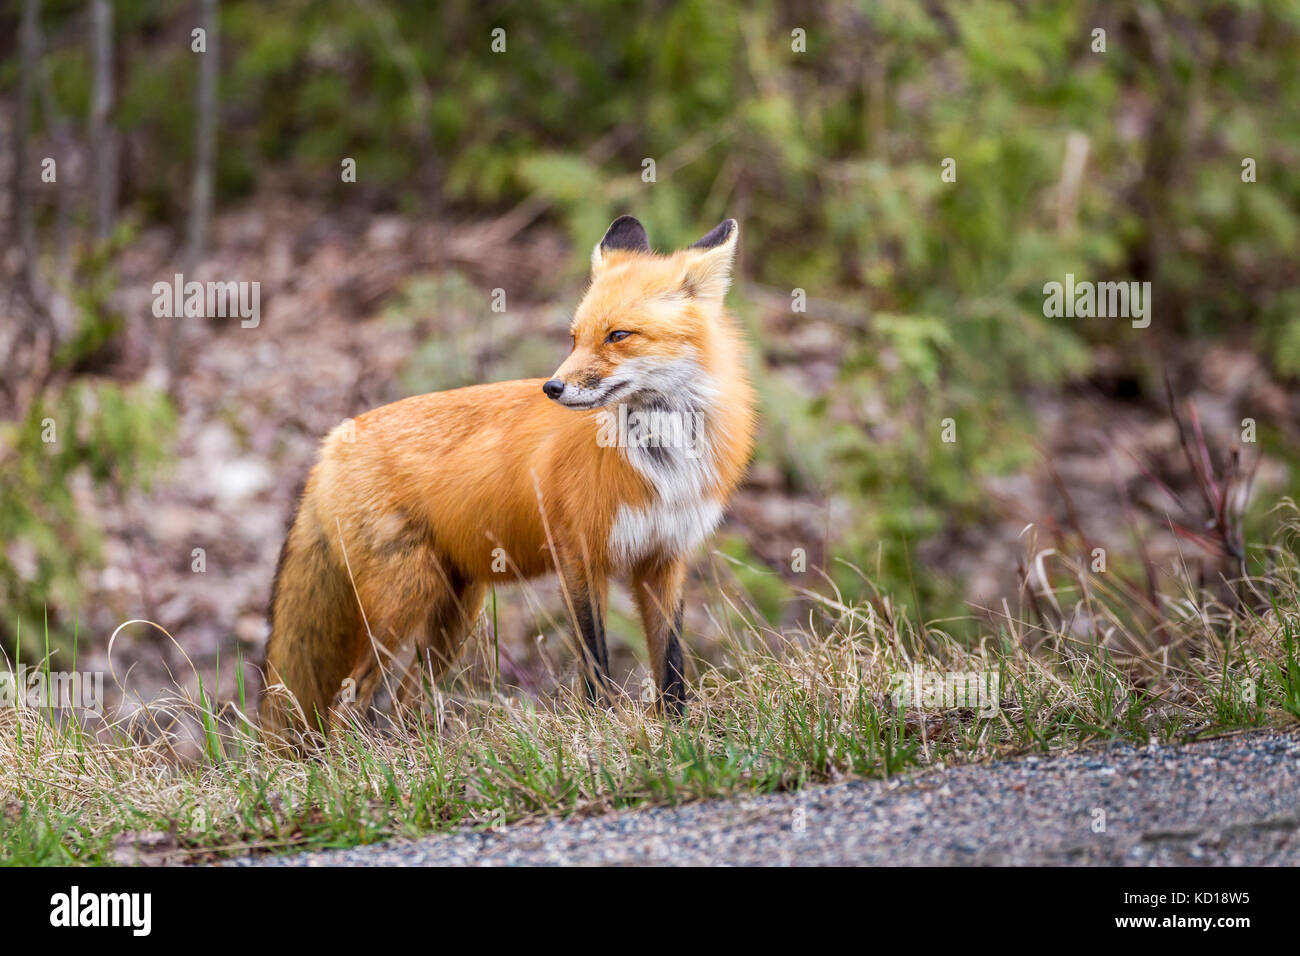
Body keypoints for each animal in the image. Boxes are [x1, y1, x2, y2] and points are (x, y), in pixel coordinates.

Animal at [259, 215, 756, 738]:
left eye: (618, 335)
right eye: (574, 337)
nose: (552, 388)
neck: (661, 460)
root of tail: (332, 441)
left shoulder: (665, 558)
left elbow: (672, 666)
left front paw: (678, 733)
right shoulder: (579, 556)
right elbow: (595, 662)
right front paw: (601, 728)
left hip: (454, 615)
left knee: (403, 699)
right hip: (403, 605)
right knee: (347, 703)